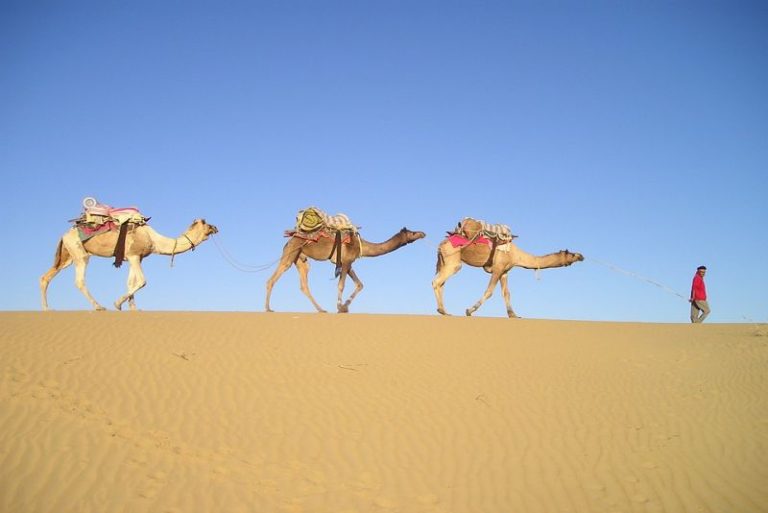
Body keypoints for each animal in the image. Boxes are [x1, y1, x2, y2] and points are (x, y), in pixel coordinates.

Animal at [40, 219, 218, 311]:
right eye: (206, 223)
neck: (153, 239)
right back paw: (98, 307)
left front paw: (132, 309)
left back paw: (47, 309)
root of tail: (64, 235)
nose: (216, 228)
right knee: (79, 280)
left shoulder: (136, 258)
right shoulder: (133, 255)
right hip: (79, 252)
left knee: (45, 277)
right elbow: (142, 281)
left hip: (67, 256)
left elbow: (130, 282)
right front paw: (117, 304)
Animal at [265, 227, 426, 313]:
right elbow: (341, 285)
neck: (361, 246)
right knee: (273, 278)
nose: (423, 233)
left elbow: (360, 284)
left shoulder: (347, 263)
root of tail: (288, 241)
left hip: (301, 259)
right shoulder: (347, 261)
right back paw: (268, 308)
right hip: (291, 253)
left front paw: (344, 307)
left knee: (304, 284)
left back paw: (321, 310)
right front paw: (339, 307)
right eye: (412, 233)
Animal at [432, 236, 583, 318]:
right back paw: (443, 311)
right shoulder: (497, 268)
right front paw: (469, 310)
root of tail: (441, 244)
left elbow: (507, 293)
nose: (582, 256)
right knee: (437, 281)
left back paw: (443, 311)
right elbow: (489, 291)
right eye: (572, 254)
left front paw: (514, 315)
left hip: (443, 261)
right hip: (453, 261)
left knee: (441, 283)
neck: (516, 255)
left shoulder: (504, 271)